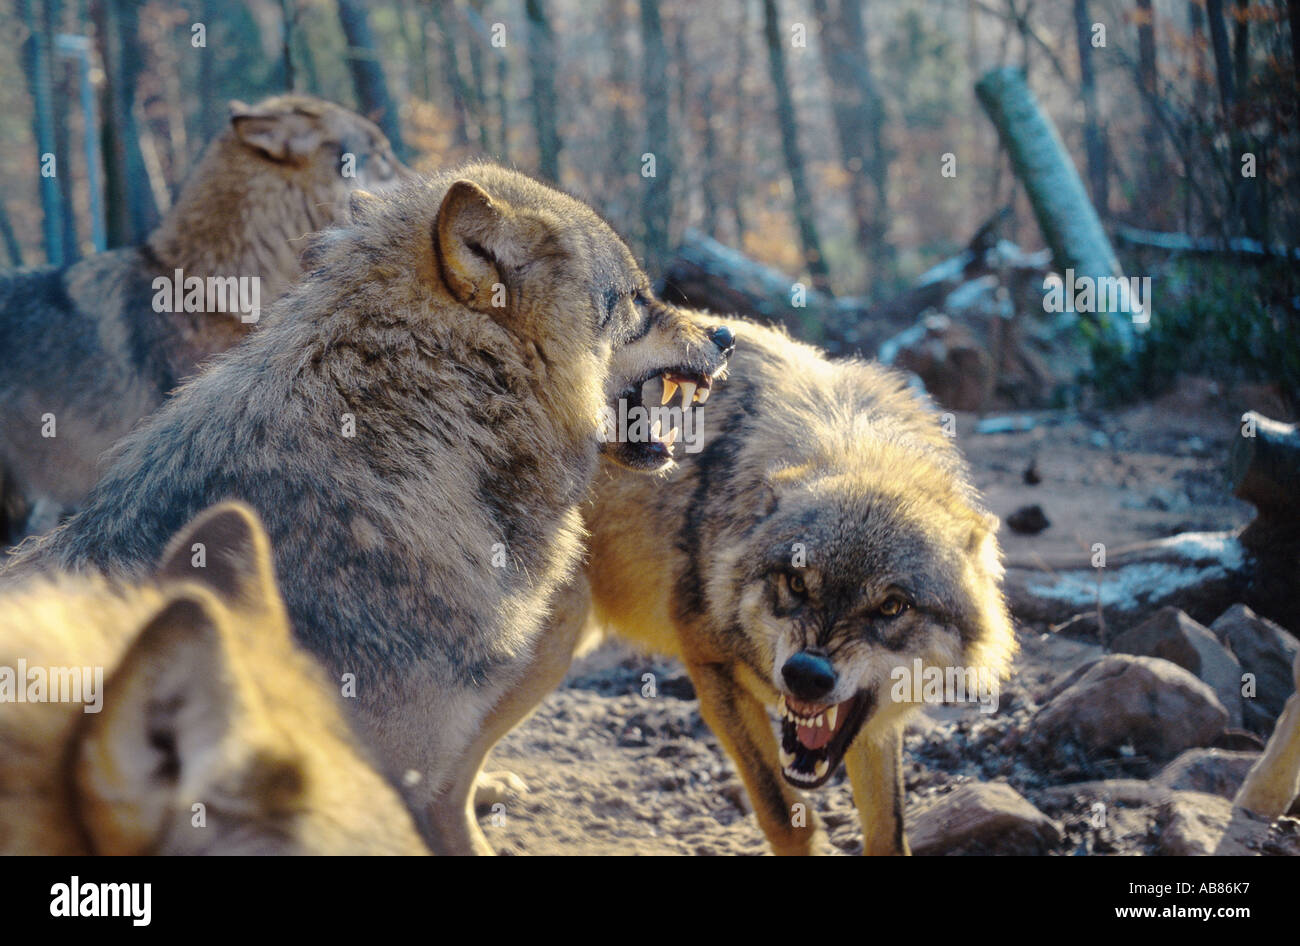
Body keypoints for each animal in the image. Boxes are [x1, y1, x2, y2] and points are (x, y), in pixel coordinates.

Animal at [537, 317, 1015, 855]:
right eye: (796, 582)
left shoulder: (869, 725)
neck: (853, 443)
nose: (806, 675)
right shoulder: (712, 671)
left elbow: (888, 831)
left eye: (893, 607)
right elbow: (785, 818)